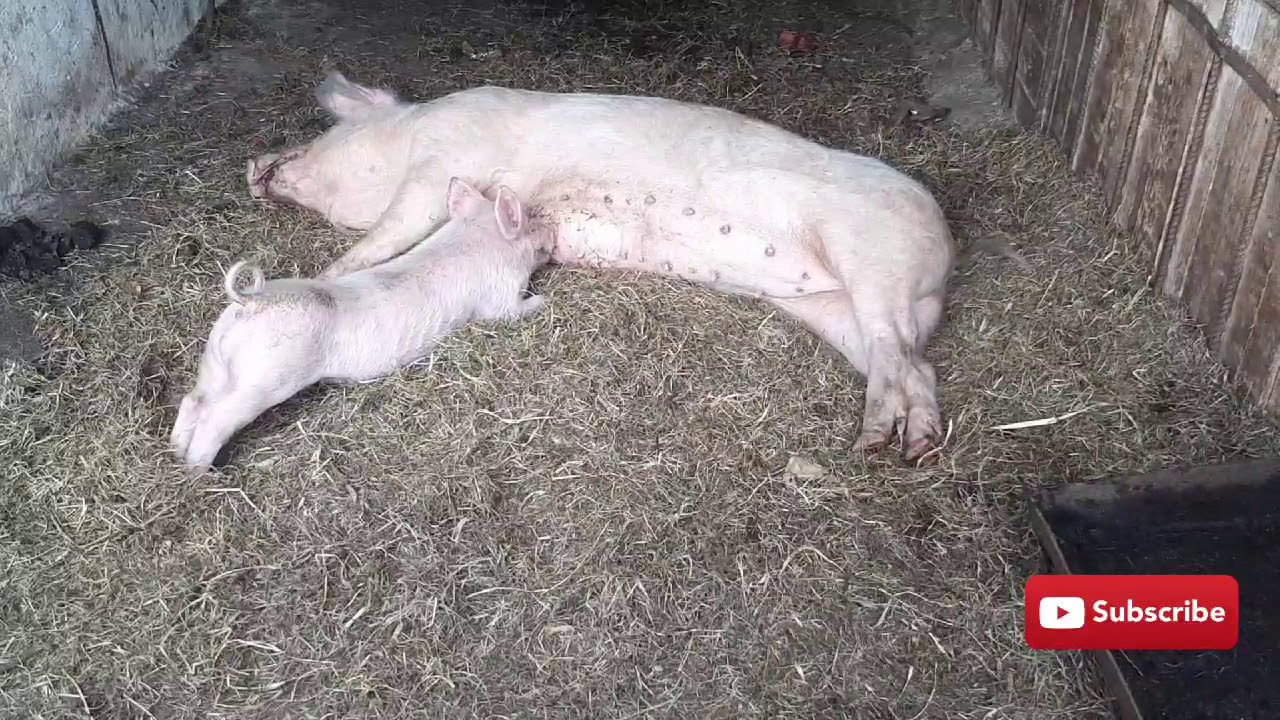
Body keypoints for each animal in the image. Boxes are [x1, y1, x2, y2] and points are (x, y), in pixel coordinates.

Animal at [170, 178, 551, 472]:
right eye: (530, 225)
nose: (549, 243)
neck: (475, 239)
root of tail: (251, 301)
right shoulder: (499, 297)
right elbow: (513, 310)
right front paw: (544, 301)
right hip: (266, 376)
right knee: (214, 417)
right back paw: (201, 473)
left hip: (214, 360)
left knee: (192, 400)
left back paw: (176, 454)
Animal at [246, 72, 957, 464]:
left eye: (323, 132)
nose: (252, 166)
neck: (408, 138)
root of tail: (943, 258)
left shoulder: (442, 157)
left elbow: (390, 232)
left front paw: (331, 270)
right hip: (834, 308)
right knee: (913, 366)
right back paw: (912, 447)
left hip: (874, 258)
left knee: (897, 353)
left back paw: (874, 443)